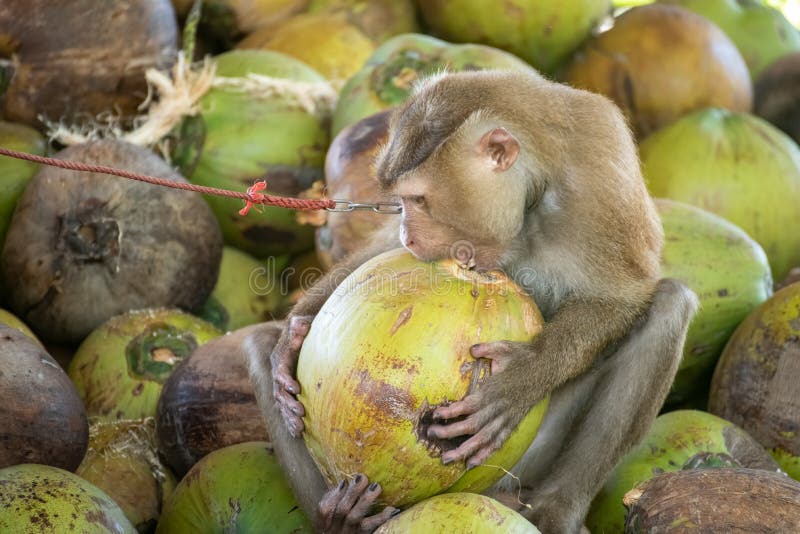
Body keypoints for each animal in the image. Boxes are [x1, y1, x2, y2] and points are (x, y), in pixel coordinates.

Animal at [245, 69, 699, 533]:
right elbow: (379, 252)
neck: (534, 193)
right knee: (261, 347)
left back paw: (556, 509)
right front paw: (290, 339)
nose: (409, 235)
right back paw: (343, 518)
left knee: (668, 305)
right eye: (400, 204)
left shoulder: (602, 184)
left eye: (420, 199)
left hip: (524, 462)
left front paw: (519, 380)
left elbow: (623, 295)